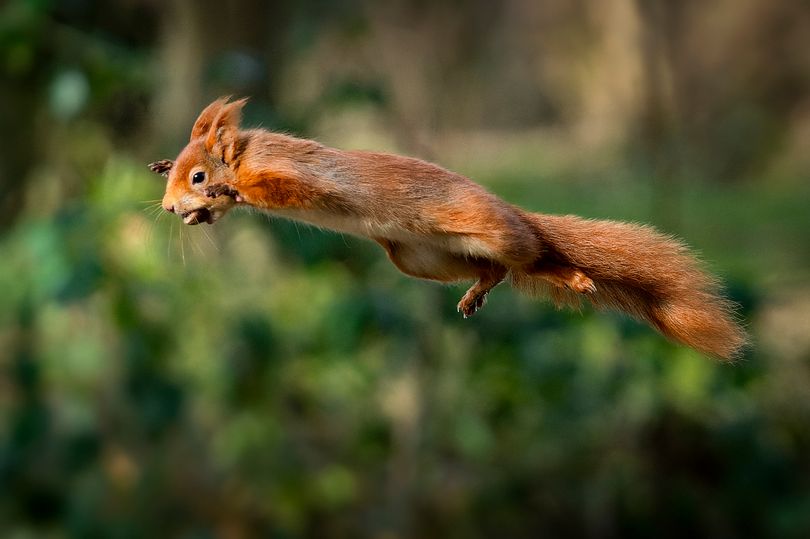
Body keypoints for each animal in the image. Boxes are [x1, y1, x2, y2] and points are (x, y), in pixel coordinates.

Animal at [149, 97, 747, 360]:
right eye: (177, 176)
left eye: (198, 174)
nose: (172, 209)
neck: (248, 154)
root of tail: (513, 212)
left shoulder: (291, 177)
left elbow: (273, 190)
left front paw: (230, 194)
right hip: (419, 257)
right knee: (498, 271)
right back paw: (479, 289)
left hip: (491, 230)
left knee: (533, 255)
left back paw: (570, 274)